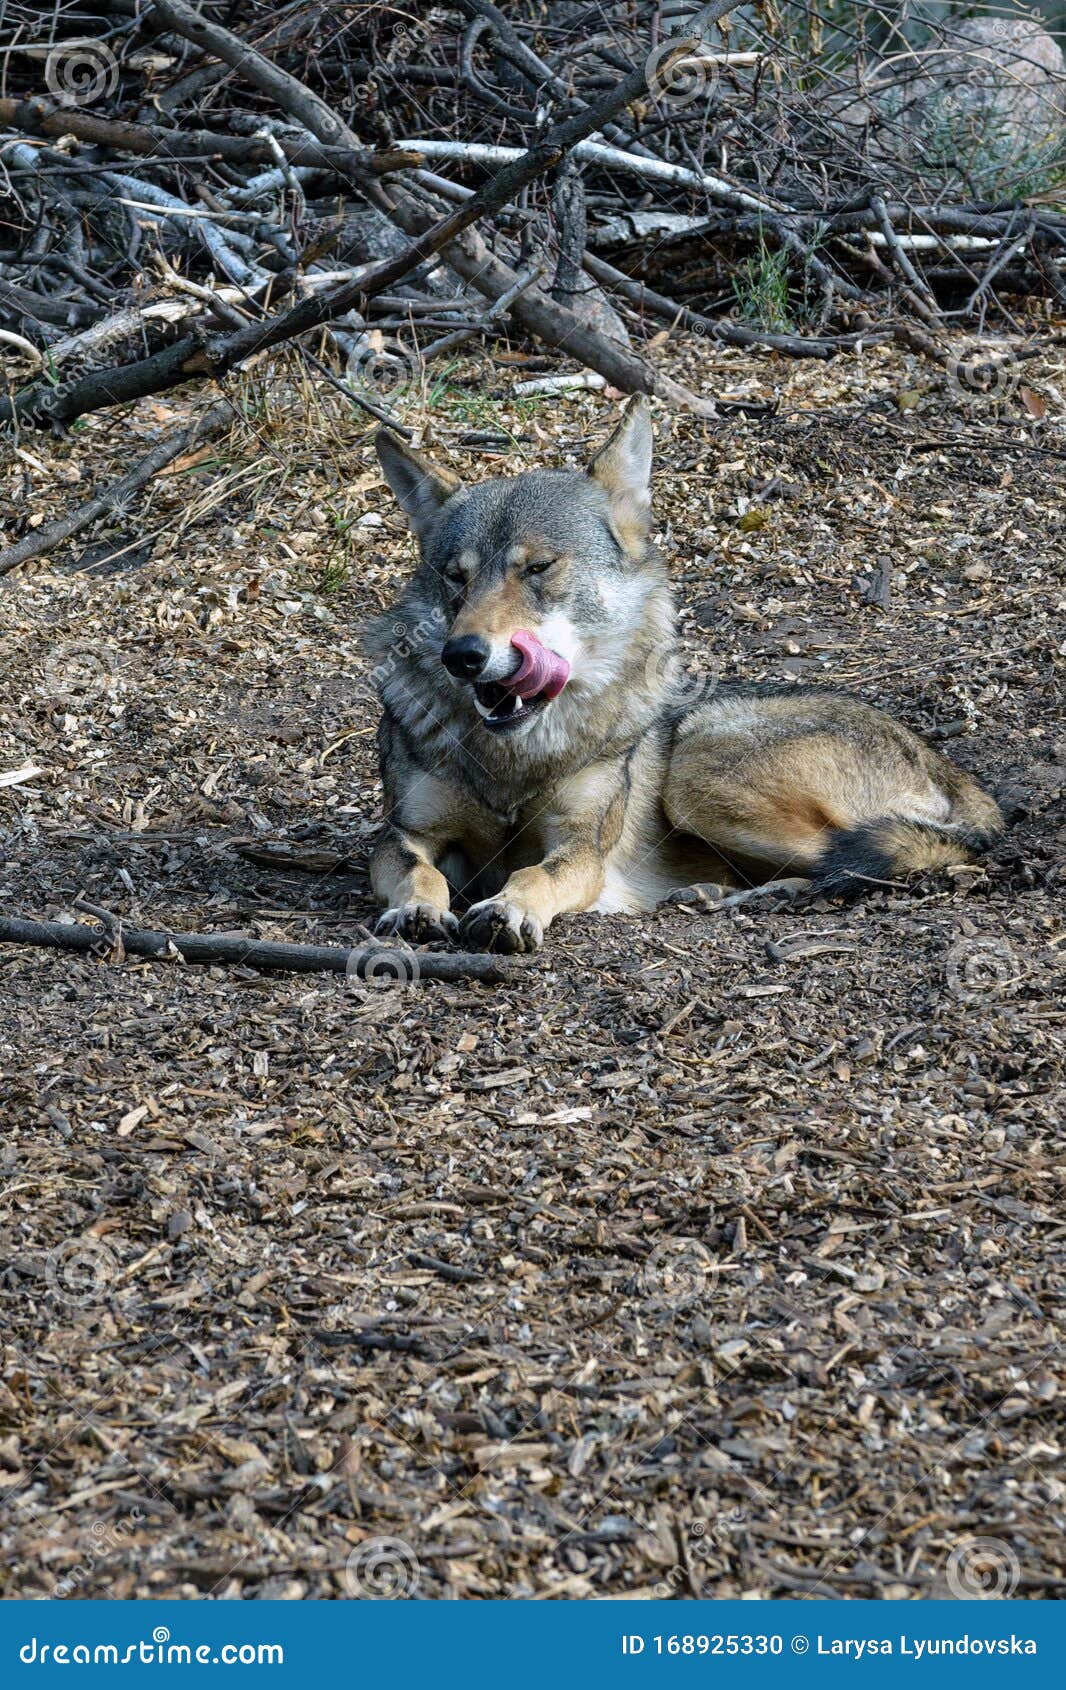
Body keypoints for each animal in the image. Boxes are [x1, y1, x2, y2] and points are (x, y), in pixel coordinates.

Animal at [366, 398, 1003, 954]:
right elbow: (418, 872)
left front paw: (507, 908)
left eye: (538, 568)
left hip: (698, 767)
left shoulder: (580, 847)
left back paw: (755, 896)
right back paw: (715, 893)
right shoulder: (405, 835)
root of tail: (951, 770)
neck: (512, 760)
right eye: (455, 577)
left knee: (855, 861)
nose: (463, 654)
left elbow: (535, 876)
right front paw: (417, 909)